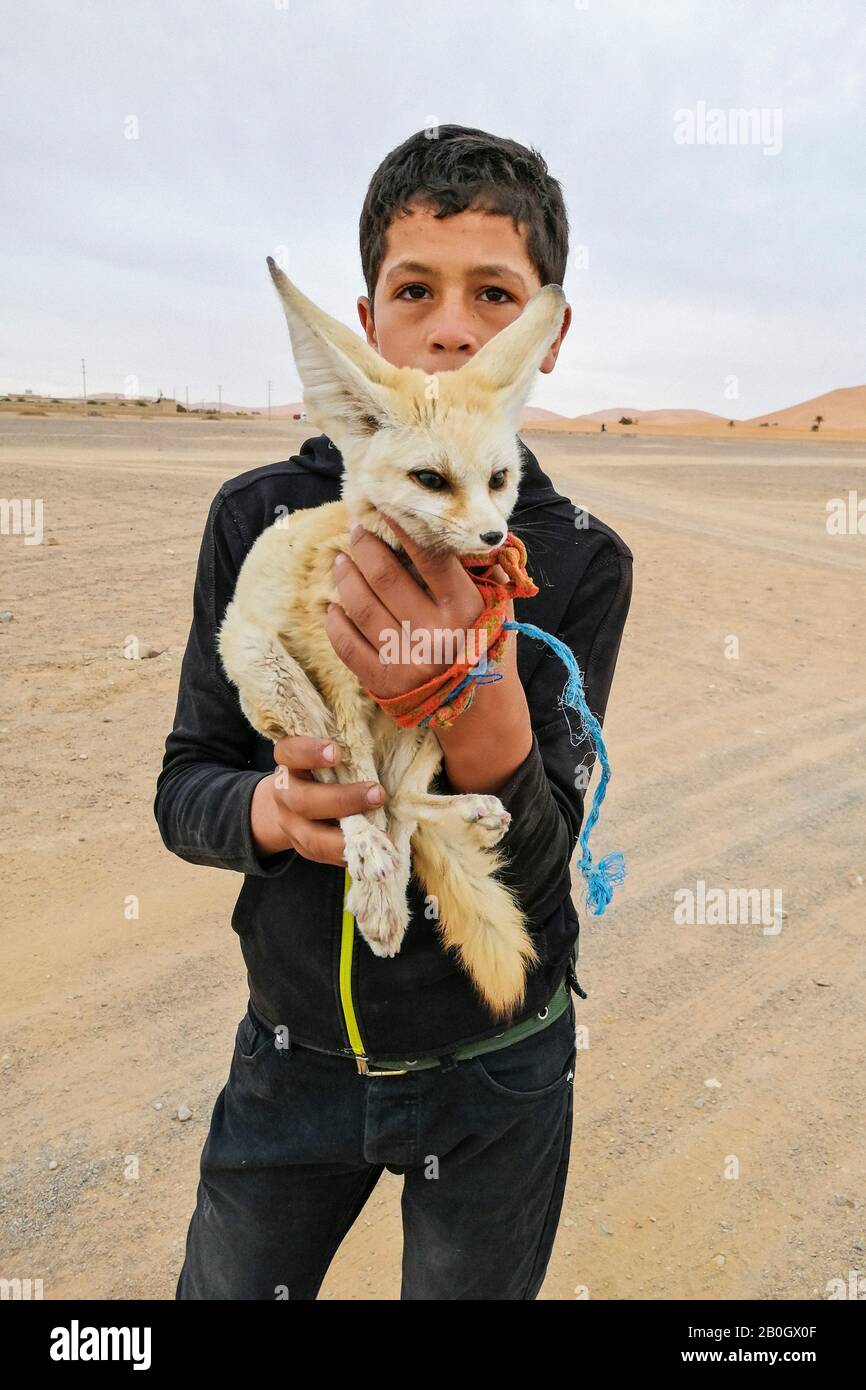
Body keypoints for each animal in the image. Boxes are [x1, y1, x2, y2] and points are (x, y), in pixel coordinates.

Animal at [217, 258, 567, 1021]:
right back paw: (375, 869)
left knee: (404, 804)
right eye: (430, 480)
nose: (494, 537)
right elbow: (353, 785)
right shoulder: (335, 675)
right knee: (344, 782)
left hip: (432, 716)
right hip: (278, 680)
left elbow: (388, 802)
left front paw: (386, 889)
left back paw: (458, 823)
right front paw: (370, 872)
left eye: (499, 479)